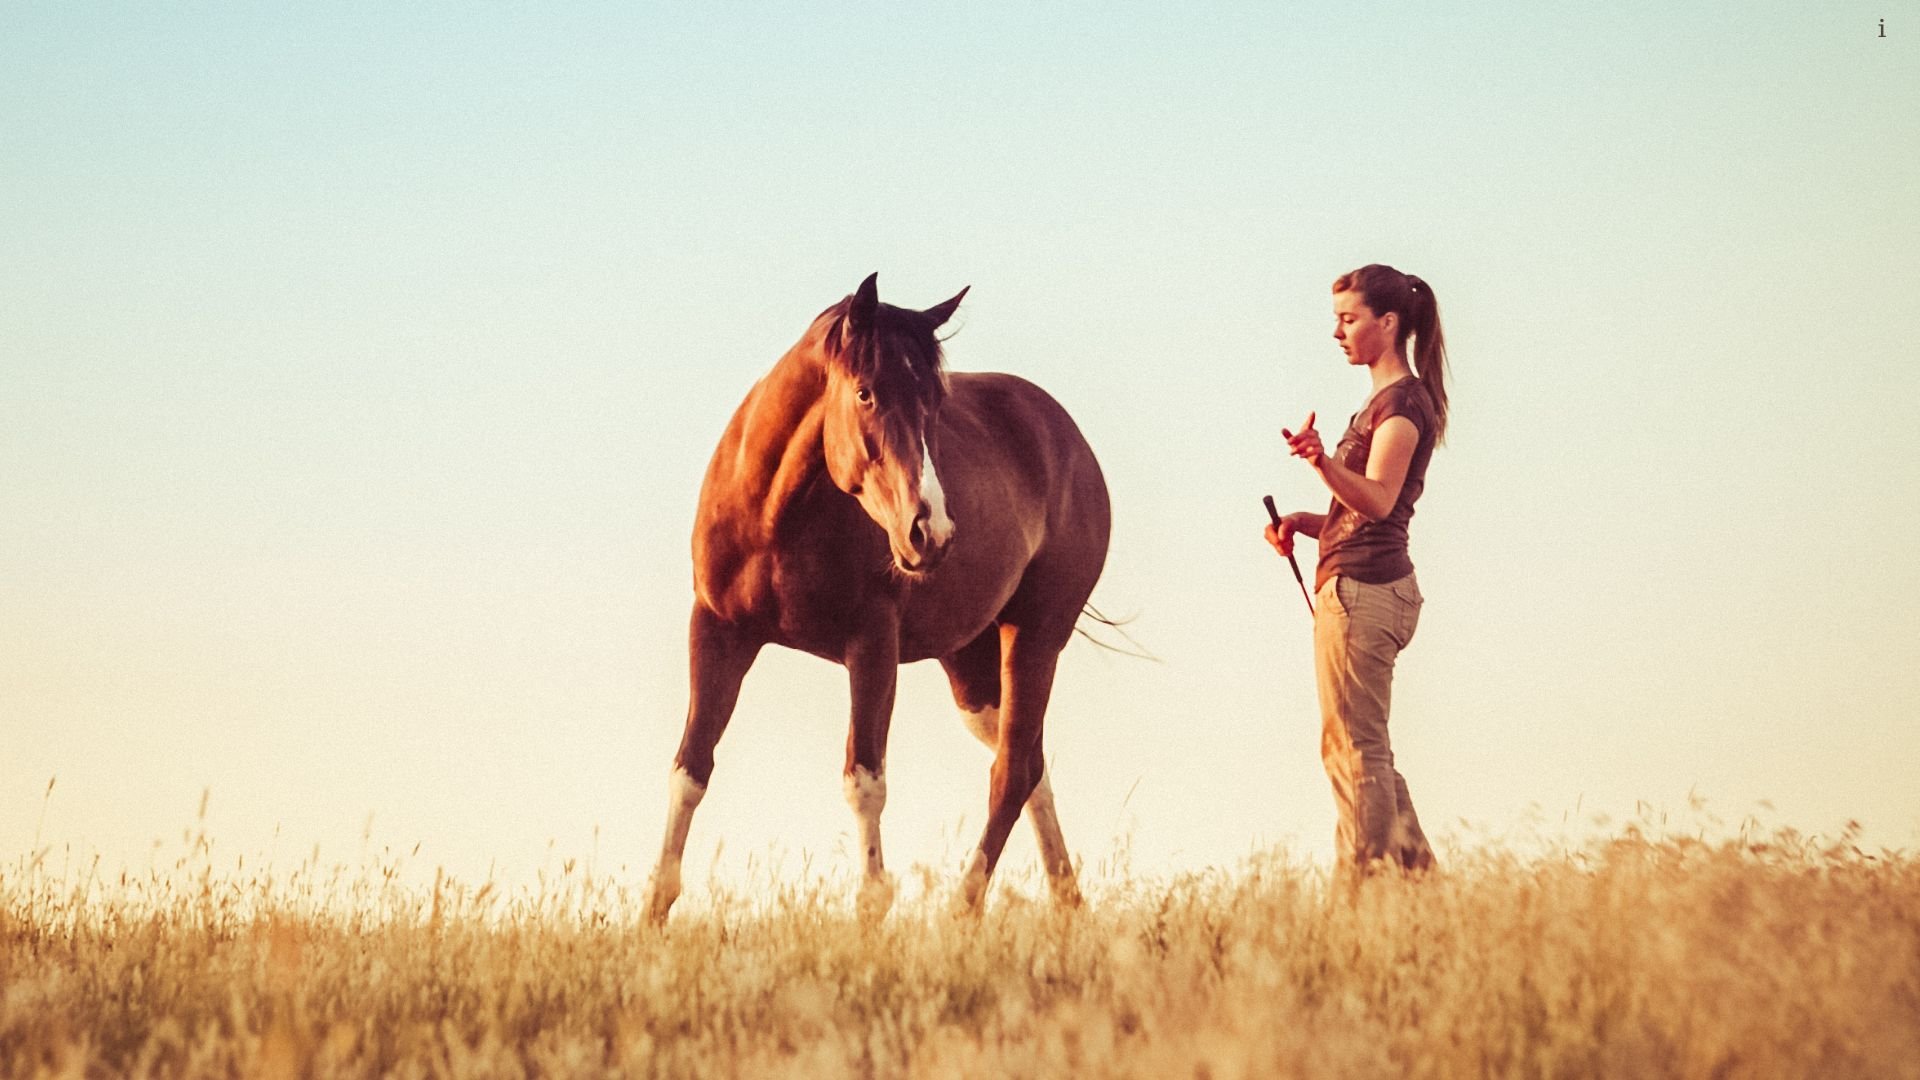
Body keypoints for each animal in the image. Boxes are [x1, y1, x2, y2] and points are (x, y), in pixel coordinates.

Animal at [644, 273, 1111, 922]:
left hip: (1036, 635)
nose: (930, 531)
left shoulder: (871, 646)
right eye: (865, 393)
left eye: (934, 402)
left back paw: (962, 912)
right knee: (1029, 763)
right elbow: (690, 769)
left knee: (1013, 771)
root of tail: (1071, 439)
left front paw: (870, 912)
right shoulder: (717, 632)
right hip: (969, 664)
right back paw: (1067, 903)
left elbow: (864, 779)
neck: (775, 516)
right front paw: (651, 914)